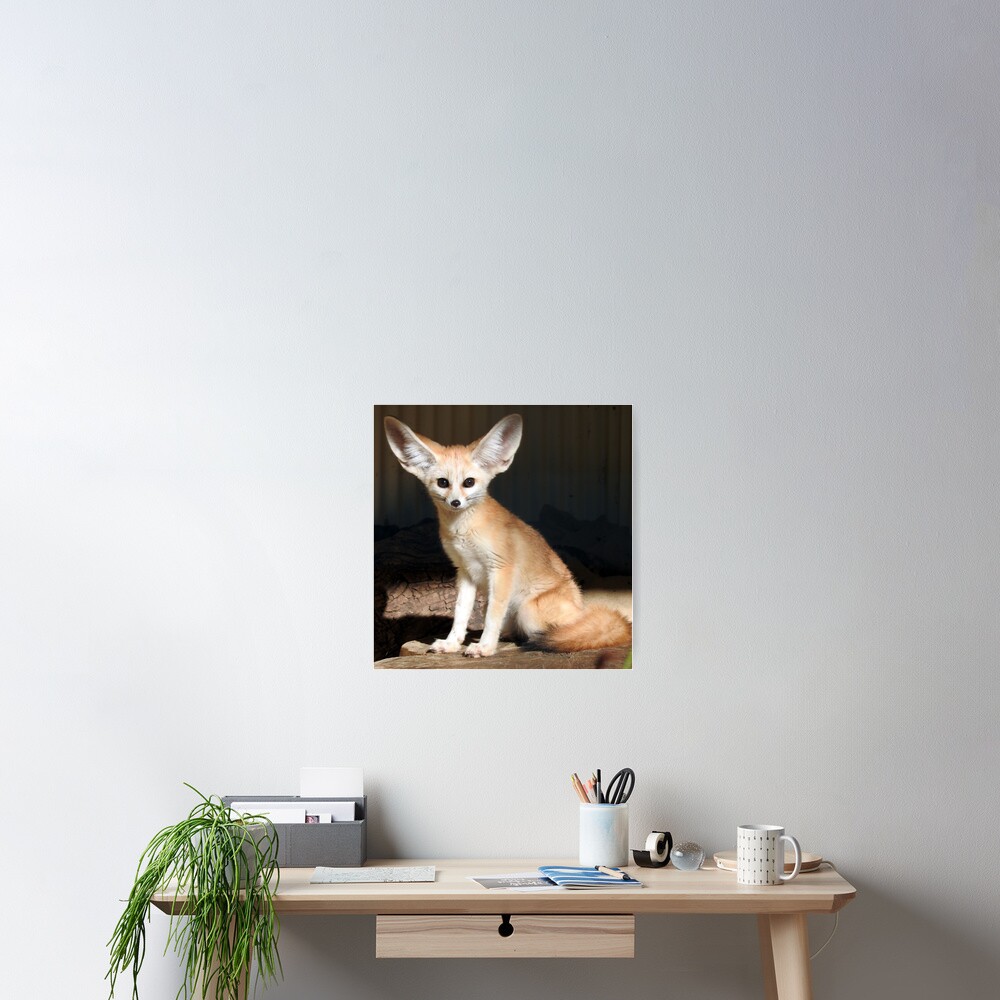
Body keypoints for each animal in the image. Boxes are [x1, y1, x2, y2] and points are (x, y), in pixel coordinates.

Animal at [383, 413, 632, 658]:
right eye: (443, 483)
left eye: (469, 482)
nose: (455, 503)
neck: (463, 531)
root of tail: (582, 609)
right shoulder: (465, 572)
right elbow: (460, 614)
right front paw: (452, 643)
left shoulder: (501, 568)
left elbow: (492, 616)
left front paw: (485, 647)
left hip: (527, 610)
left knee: (565, 634)